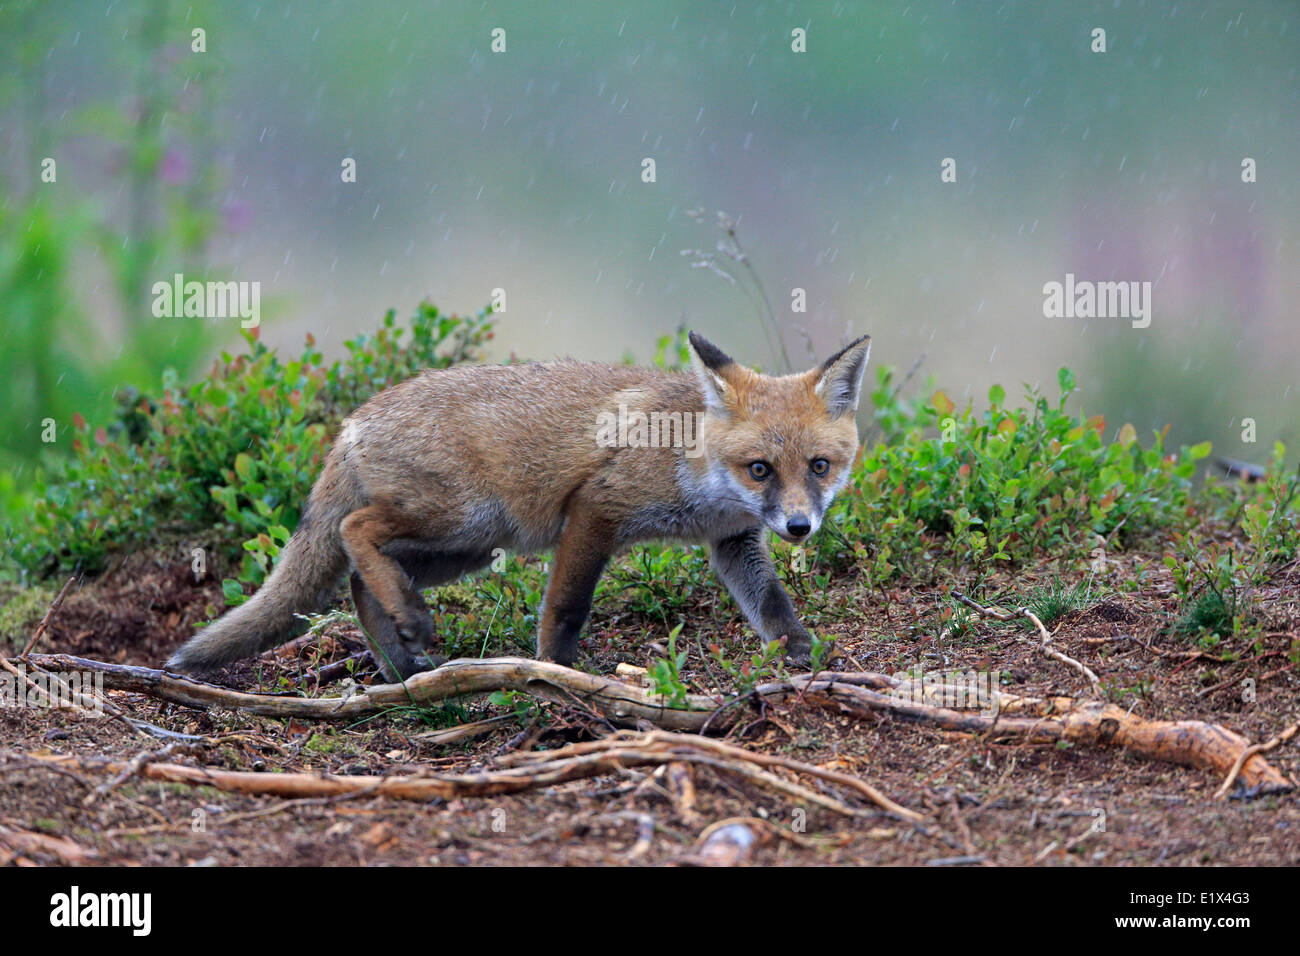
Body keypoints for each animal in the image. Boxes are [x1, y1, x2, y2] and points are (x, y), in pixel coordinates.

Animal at [166, 331, 871, 683]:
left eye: (818, 466)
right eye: (760, 469)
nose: (800, 526)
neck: (694, 465)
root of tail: (354, 420)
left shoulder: (733, 540)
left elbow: (772, 605)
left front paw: (802, 655)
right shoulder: (596, 511)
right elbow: (566, 606)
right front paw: (555, 672)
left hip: (466, 549)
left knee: (363, 582)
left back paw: (400, 664)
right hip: (460, 518)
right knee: (351, 528)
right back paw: (408, 633)